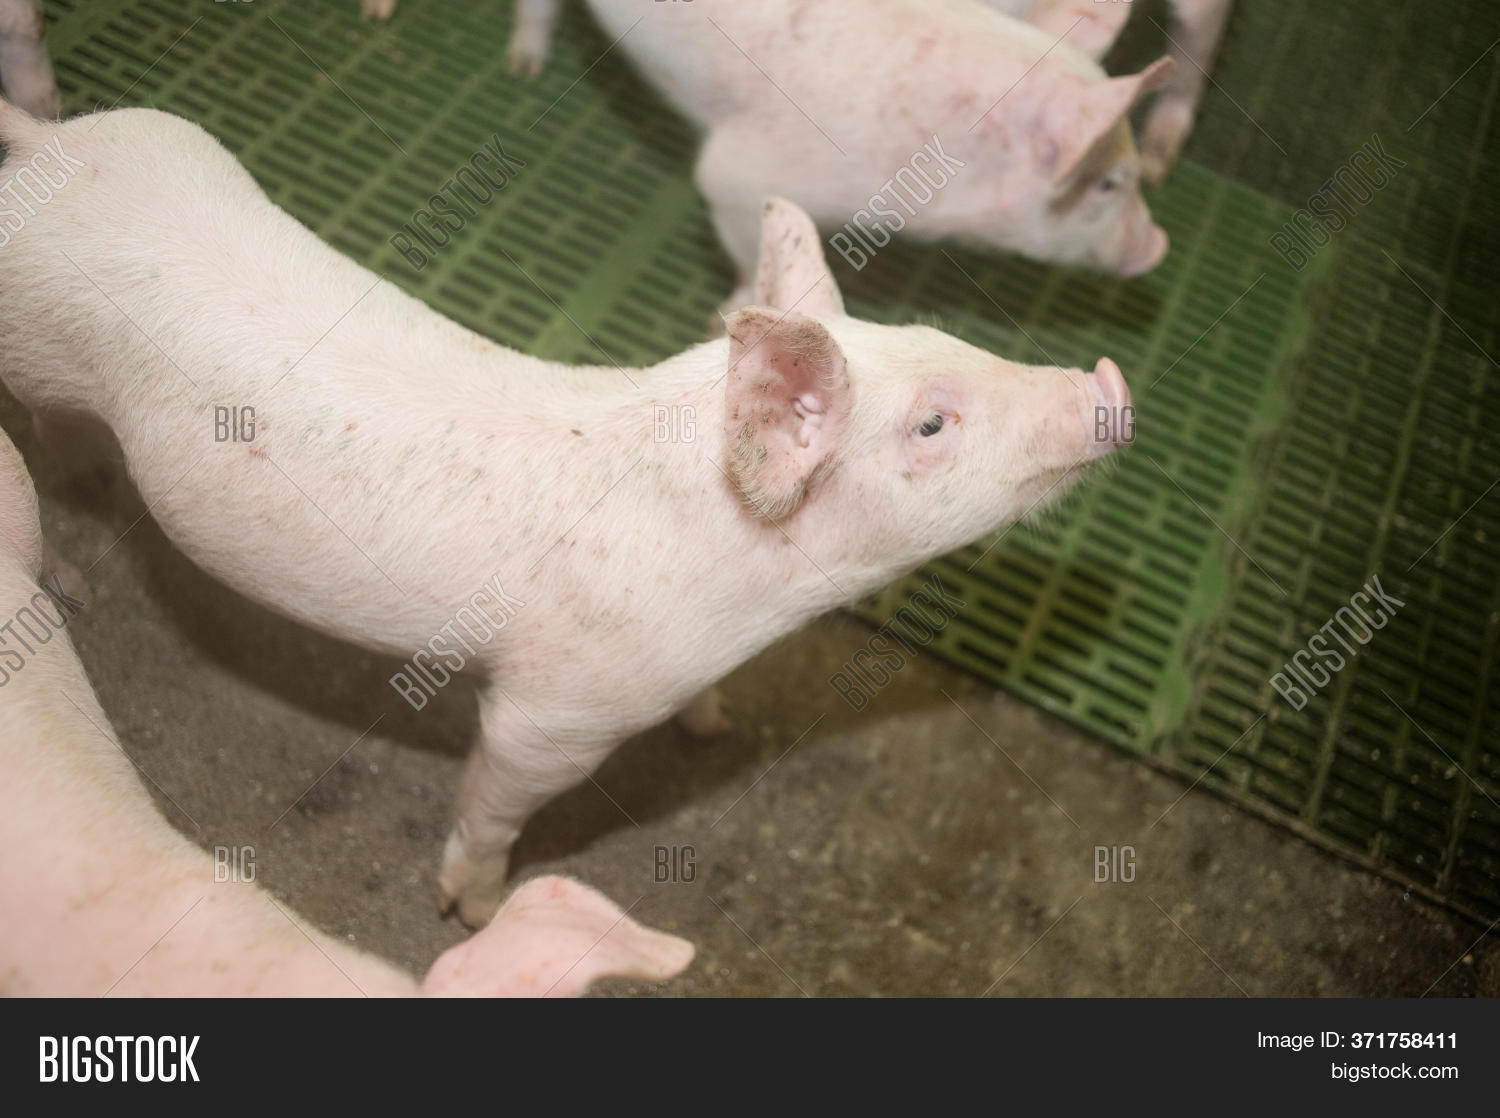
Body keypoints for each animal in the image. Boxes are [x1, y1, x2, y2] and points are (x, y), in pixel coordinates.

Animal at [0, 100, 1132, 927]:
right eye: (933, 422)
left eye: (956, 341)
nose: (1109, 380)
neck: (751, 578)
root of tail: (50, 146)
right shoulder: (557, 711)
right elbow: (498, 797)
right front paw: (477, 910)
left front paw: (716, 725)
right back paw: (71, 576)